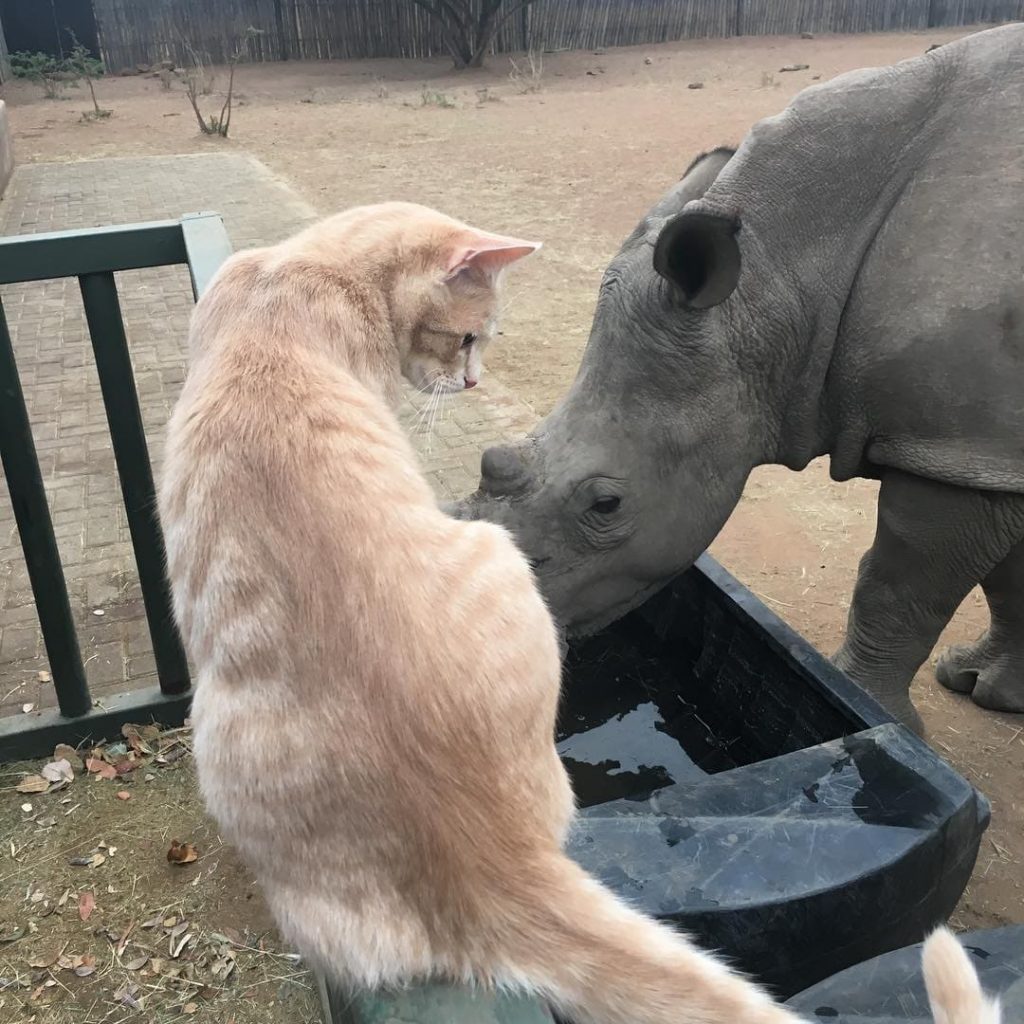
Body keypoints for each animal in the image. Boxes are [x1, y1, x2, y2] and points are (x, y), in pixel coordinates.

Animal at [455, 24, 1024, 733]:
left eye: (606, 505)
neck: (782, 273)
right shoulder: (991, 446)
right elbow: (1010, 573)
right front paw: (981, 686)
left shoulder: (955, 447)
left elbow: (898, 587)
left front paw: (873, 710)